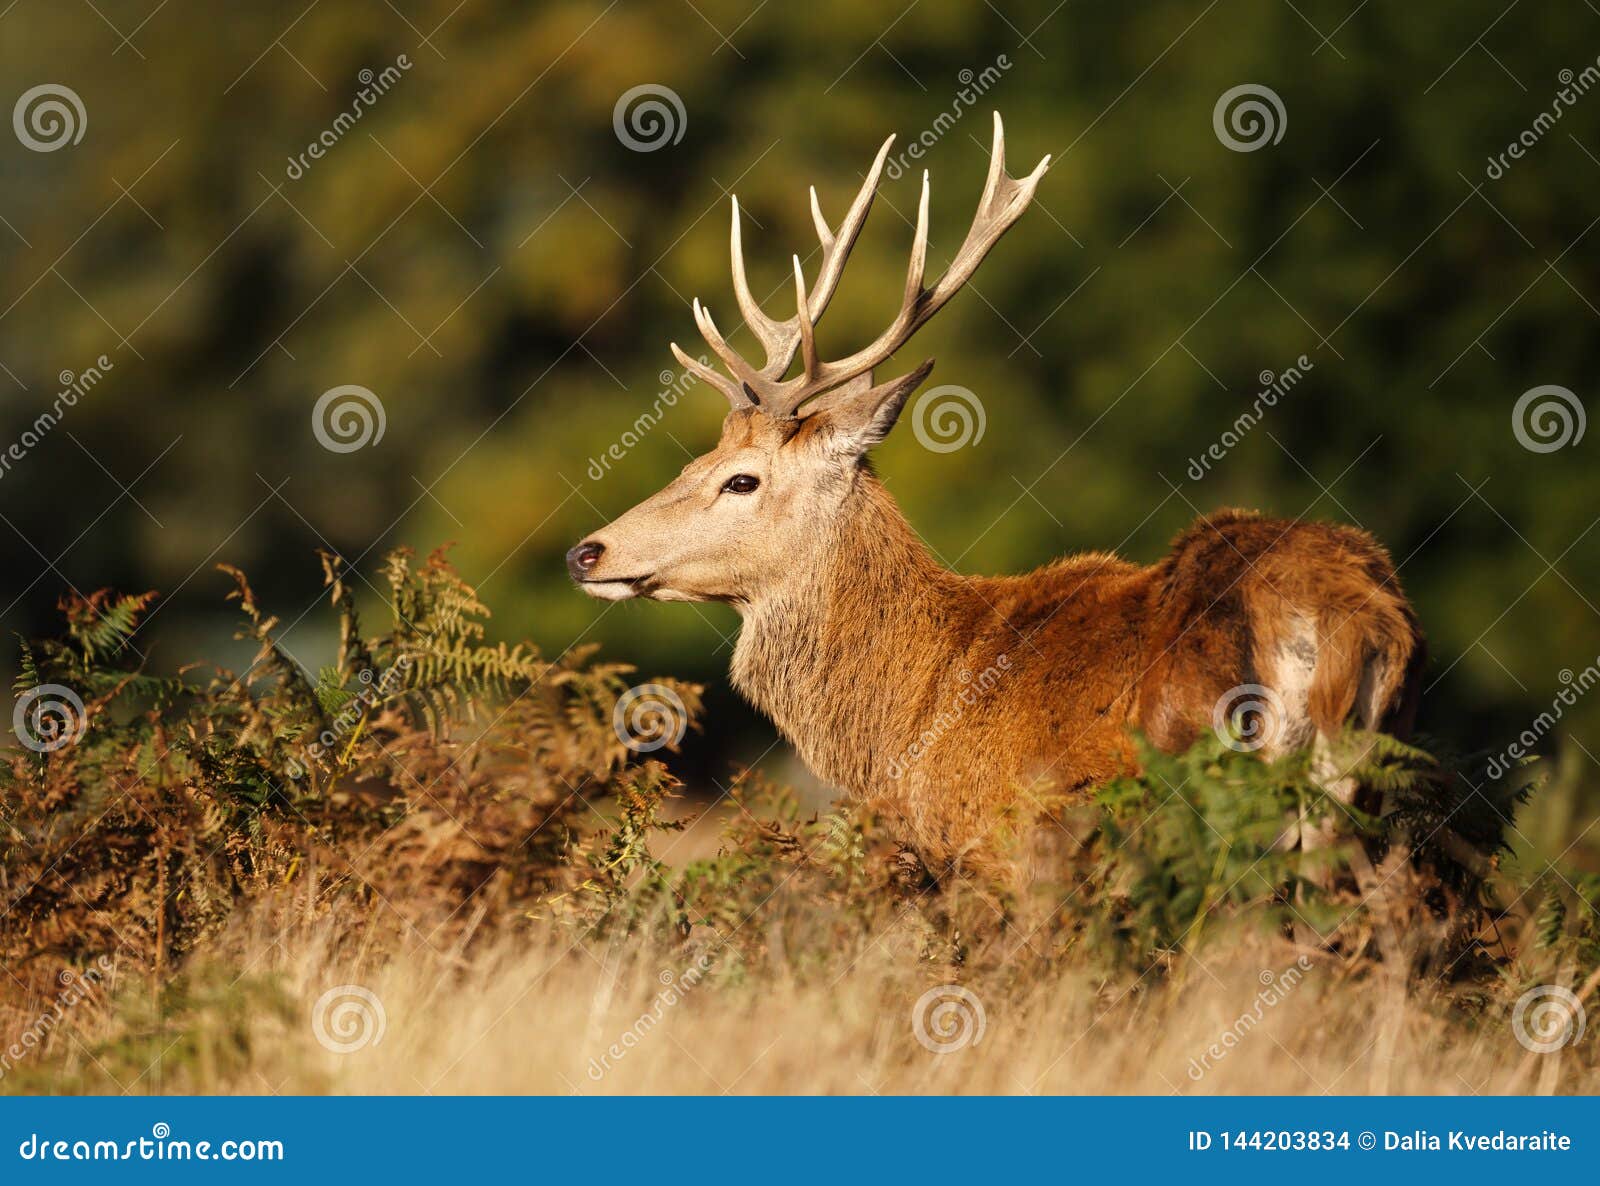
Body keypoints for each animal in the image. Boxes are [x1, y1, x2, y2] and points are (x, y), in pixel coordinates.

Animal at [568, 113, 1425, 879]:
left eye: (741, 478)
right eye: (702, 457)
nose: (587, 551)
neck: (908, 722)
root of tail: (1354, 620)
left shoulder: (997, 848)